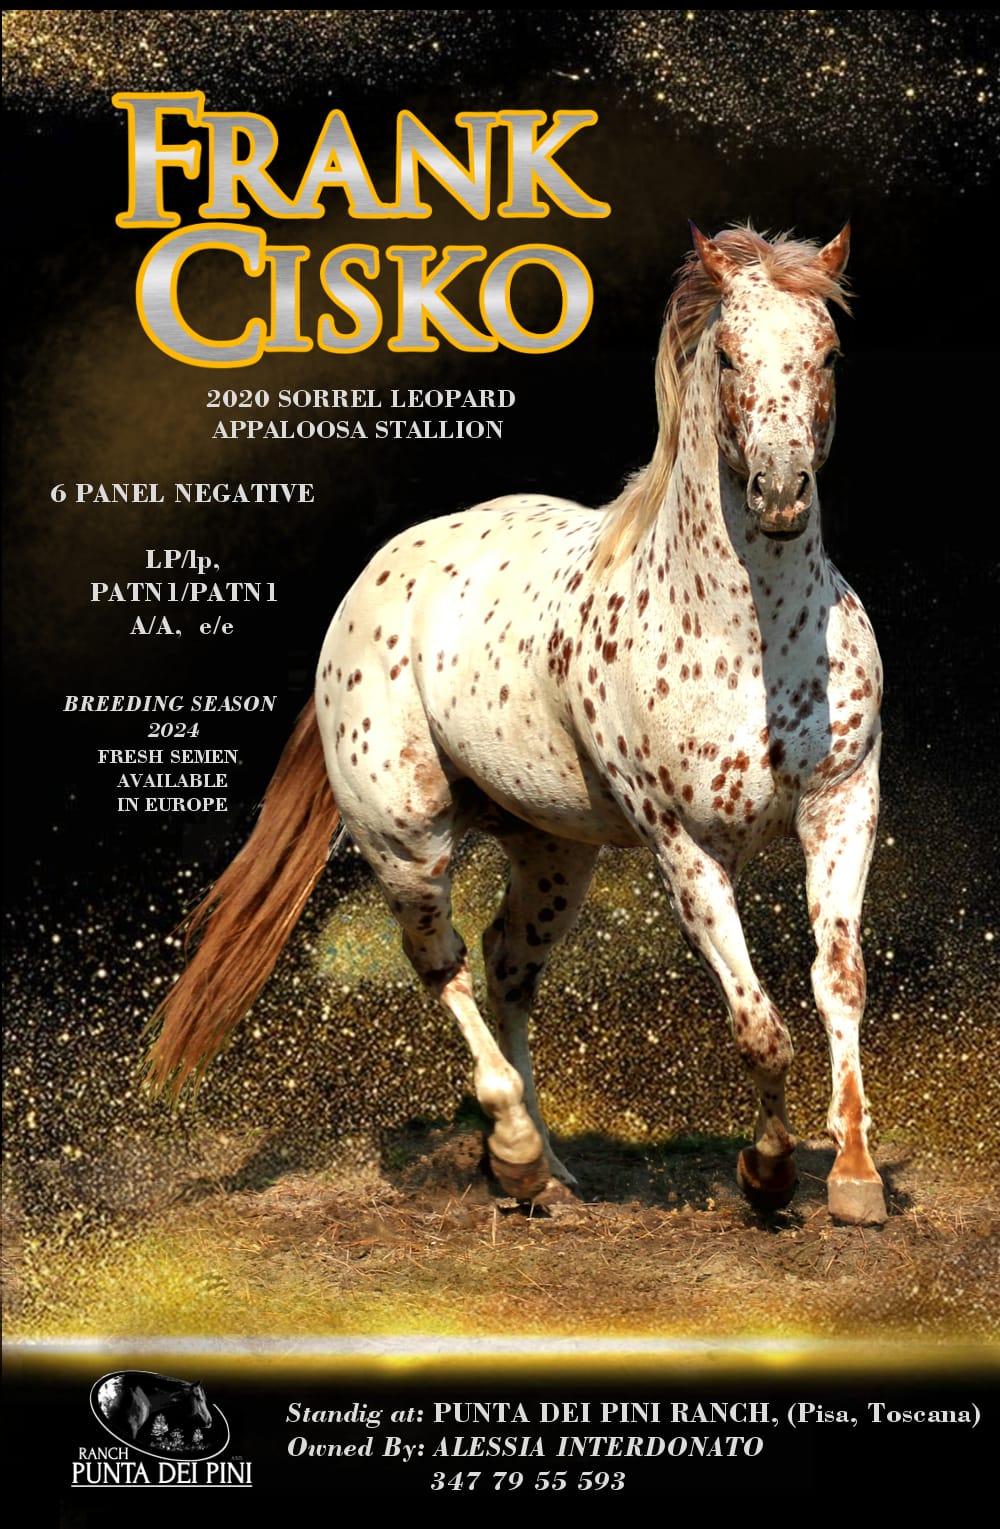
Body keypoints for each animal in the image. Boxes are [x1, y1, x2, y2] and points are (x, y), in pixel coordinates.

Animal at [148, 224, 887, 1226]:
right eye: (729, 355)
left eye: (827, 352)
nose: (779, 492)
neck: (751, 640)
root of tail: (375, 581)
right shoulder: (685, 847)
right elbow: (758, 1024)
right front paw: (766, 1173)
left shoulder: (842, 805)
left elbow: (836, 981)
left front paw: (855, 1179)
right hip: (408, 844)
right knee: (445, 966)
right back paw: (518, 1152)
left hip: (552, 853)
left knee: (506, 964)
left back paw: (553, 1175)